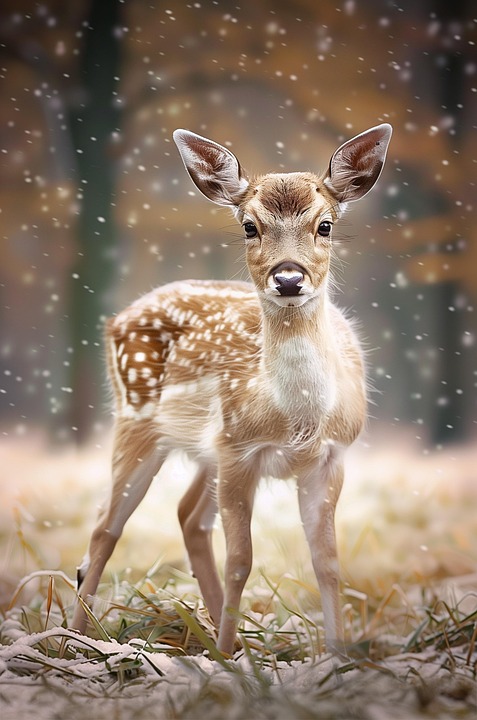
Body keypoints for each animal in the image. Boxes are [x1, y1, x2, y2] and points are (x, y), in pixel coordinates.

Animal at [72, 123, 392, 656]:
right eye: (249, 226)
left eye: (324, 225)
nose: (288, 278)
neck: (297, 420)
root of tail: (116, 318)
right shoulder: (240, 451)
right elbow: (241, 560)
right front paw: (224, 661)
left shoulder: (330, 456)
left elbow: (327, 562)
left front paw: (335, 655)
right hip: (138, 419)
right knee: (104, 525)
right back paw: (76, 641)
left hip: (206, 450)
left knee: (186, 515)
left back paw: (221, 631)